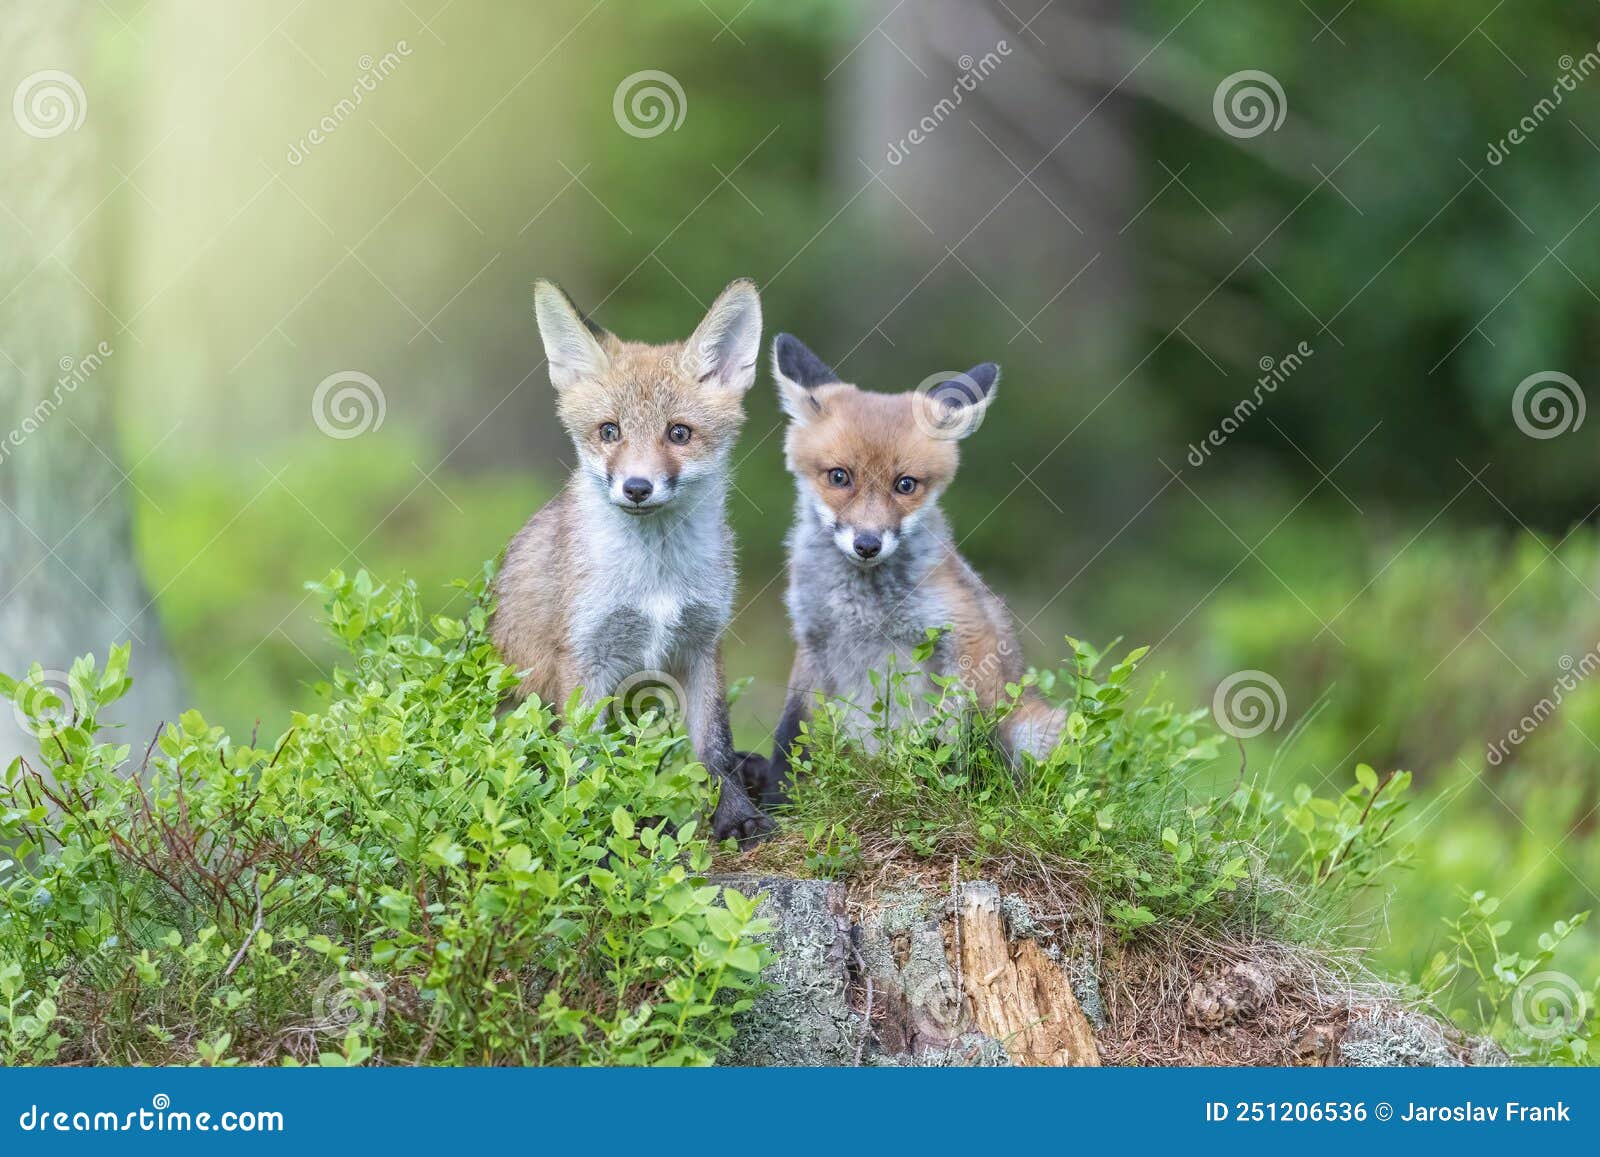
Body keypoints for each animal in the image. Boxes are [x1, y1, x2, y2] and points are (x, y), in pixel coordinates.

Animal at [490, 278, 773, 844]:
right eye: (609, 431)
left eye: (679, 433)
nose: (637, 487)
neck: (654, 581)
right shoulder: (584, 656)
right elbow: (580, 761)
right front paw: (588, 839)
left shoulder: (703, 643)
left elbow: (716, 749)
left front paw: (735, 816)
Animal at [750, 332, 1064, 807]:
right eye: (839, 477)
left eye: (905, 485)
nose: (867, 544)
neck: (862, 607)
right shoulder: (812, 639)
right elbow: (792, 731)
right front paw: (777, 798)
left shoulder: (968, 634)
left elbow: (965, 737)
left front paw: (953, 789)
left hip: (1037, 728)